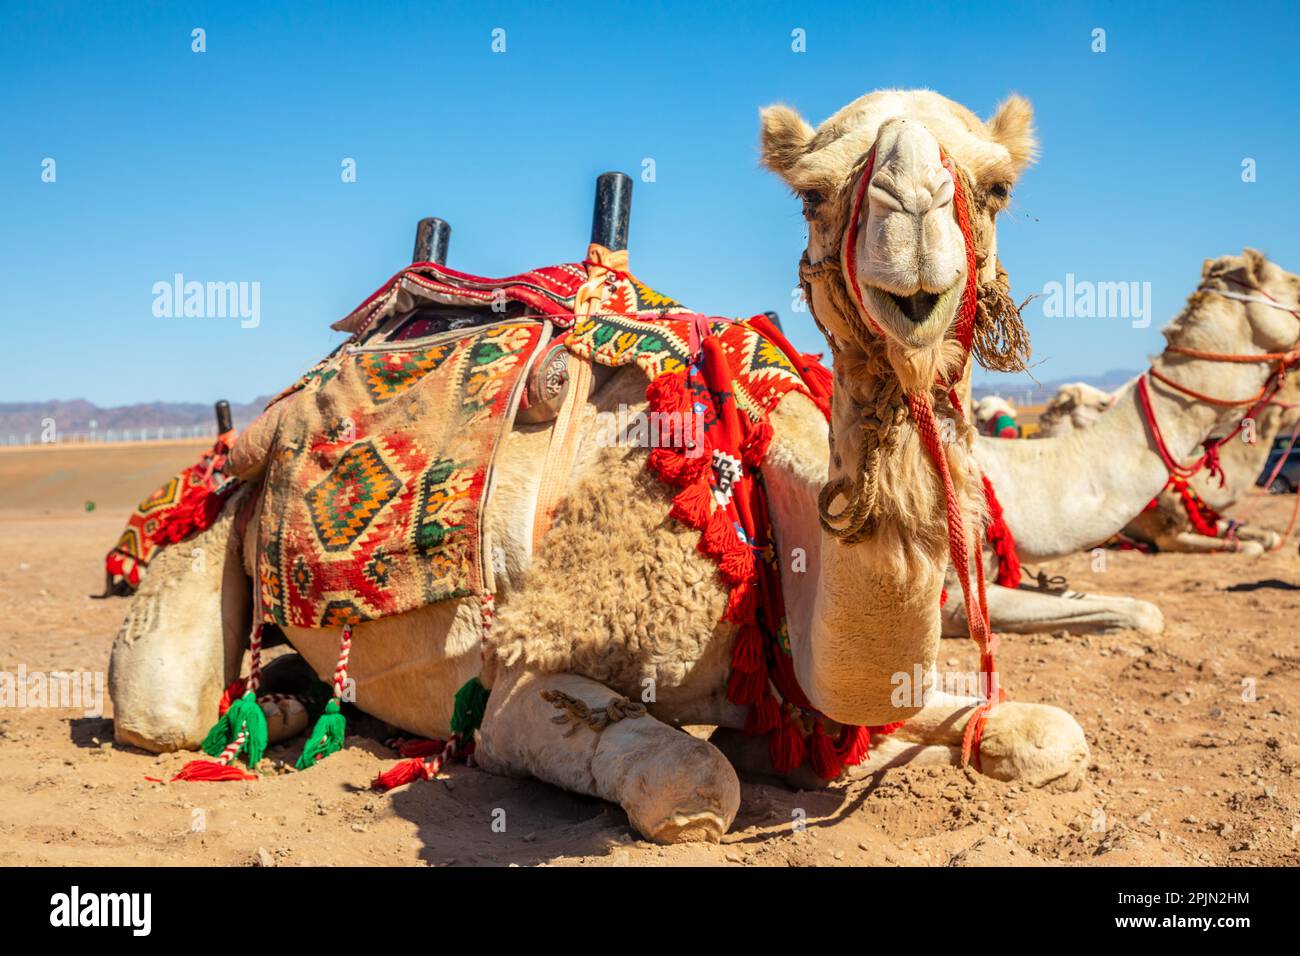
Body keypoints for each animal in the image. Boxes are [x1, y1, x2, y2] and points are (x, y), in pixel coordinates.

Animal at [109, 89, 1091, 844]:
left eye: (998, 186)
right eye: (813, 193)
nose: (915, 223)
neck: (754, 508)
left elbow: (1052, 732)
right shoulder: (512, 689)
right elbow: (695, 782)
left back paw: (286, 709)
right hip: (225, 508)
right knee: (161, 707)